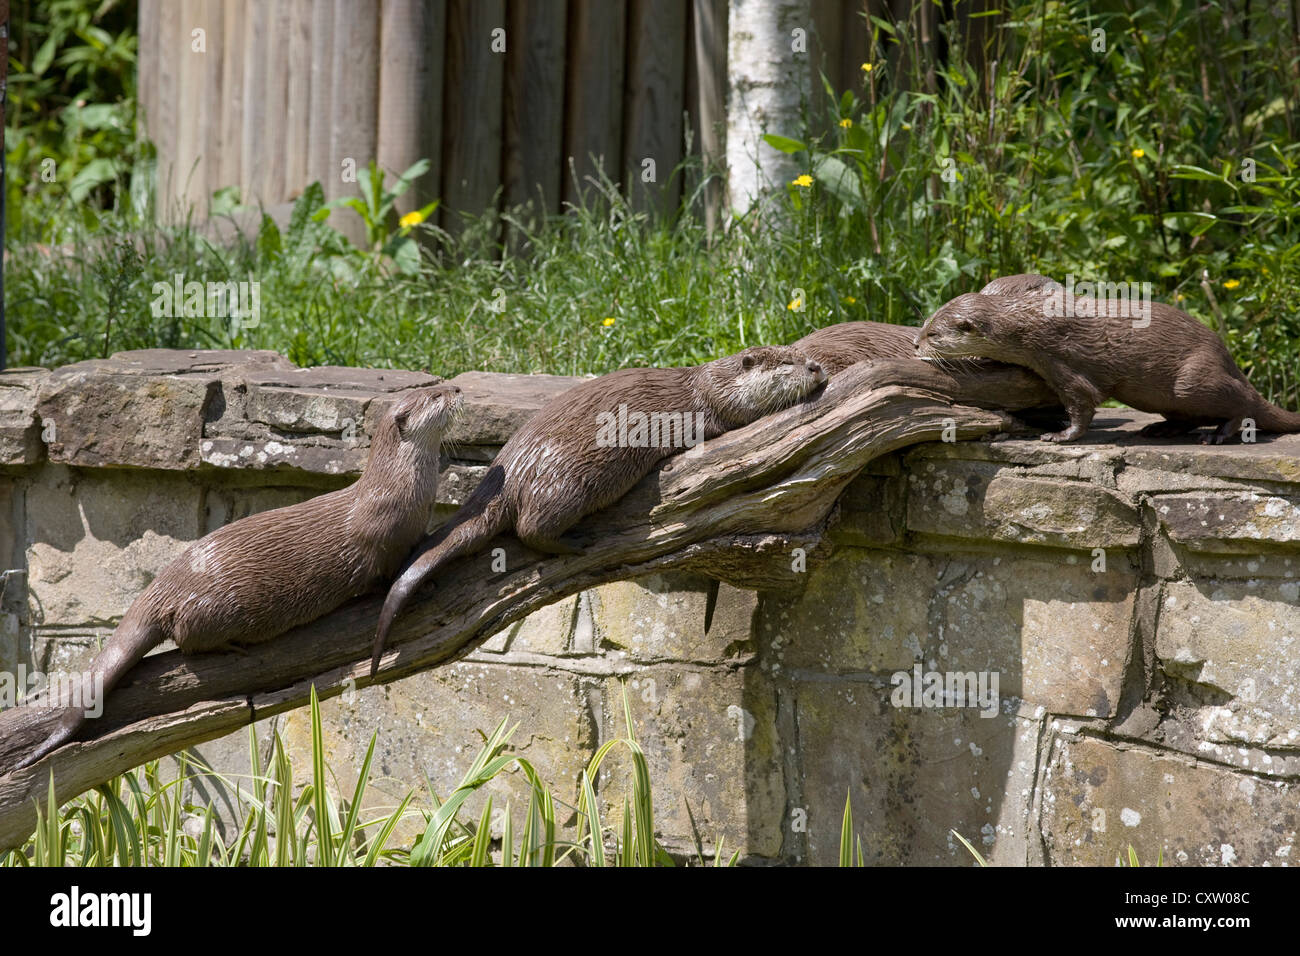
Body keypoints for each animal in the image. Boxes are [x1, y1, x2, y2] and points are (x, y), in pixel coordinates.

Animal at [17, 384, 463, 769]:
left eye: (439, 384)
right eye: (435, 395)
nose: (458, 389)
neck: (398, 487)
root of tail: (163, 584)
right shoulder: (382, 540)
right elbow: (384, 574)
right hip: (212, 607)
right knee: (187, 639)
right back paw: (232, 647)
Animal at [371, 346, 828, 673]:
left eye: (797, 351)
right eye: (787, 363)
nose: (815, 367)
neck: (711, 386)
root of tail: (512, 468)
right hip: (565, 485)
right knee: (530, 528)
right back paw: (577, 543)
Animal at [914, 292, 1300, 443]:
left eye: (933, 333)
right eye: (924, 323)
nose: (916, 344)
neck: (1028, 322)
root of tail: (1227, 358)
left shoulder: (1061, 361)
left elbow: (1082, 404)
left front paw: (1060, 436)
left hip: (1194, 380)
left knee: (1242, 403)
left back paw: (1219, 434)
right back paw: (1159, 430)